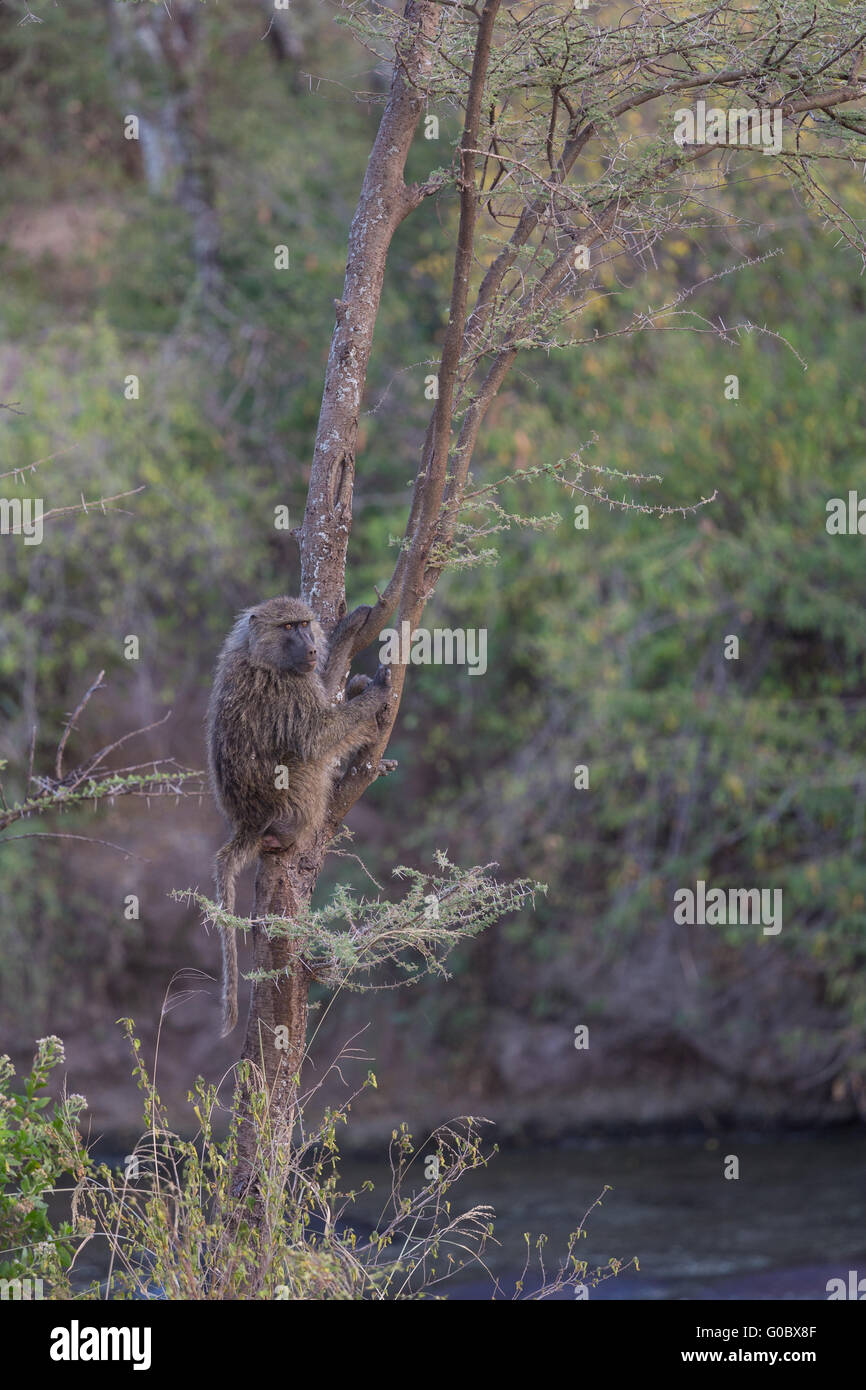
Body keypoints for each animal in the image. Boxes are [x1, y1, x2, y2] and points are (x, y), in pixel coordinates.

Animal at [206, 595, 392, 1035]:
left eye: (305, 624)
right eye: (288, 627)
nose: (309, 649)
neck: (258, 654)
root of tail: (249, 821)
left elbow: (326, 689)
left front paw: (348, 631)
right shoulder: (287, 689)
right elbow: (316, 736)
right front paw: (376, 691)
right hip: (293, 796)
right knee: (310, 755)